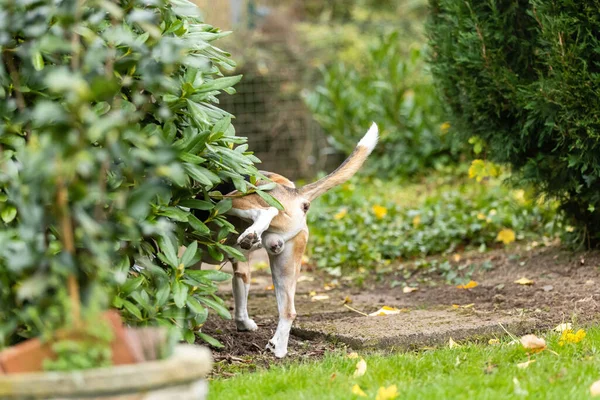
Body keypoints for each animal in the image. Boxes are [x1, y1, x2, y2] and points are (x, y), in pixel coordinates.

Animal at [204, 123, 378, 358]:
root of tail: (295, 194)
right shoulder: (242, 267)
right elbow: (241, 300)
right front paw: (244, 325)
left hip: (230, 199)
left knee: (265, 211)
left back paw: (252, 233)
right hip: (284, 265)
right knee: (289, 311)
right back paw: (279, 348)